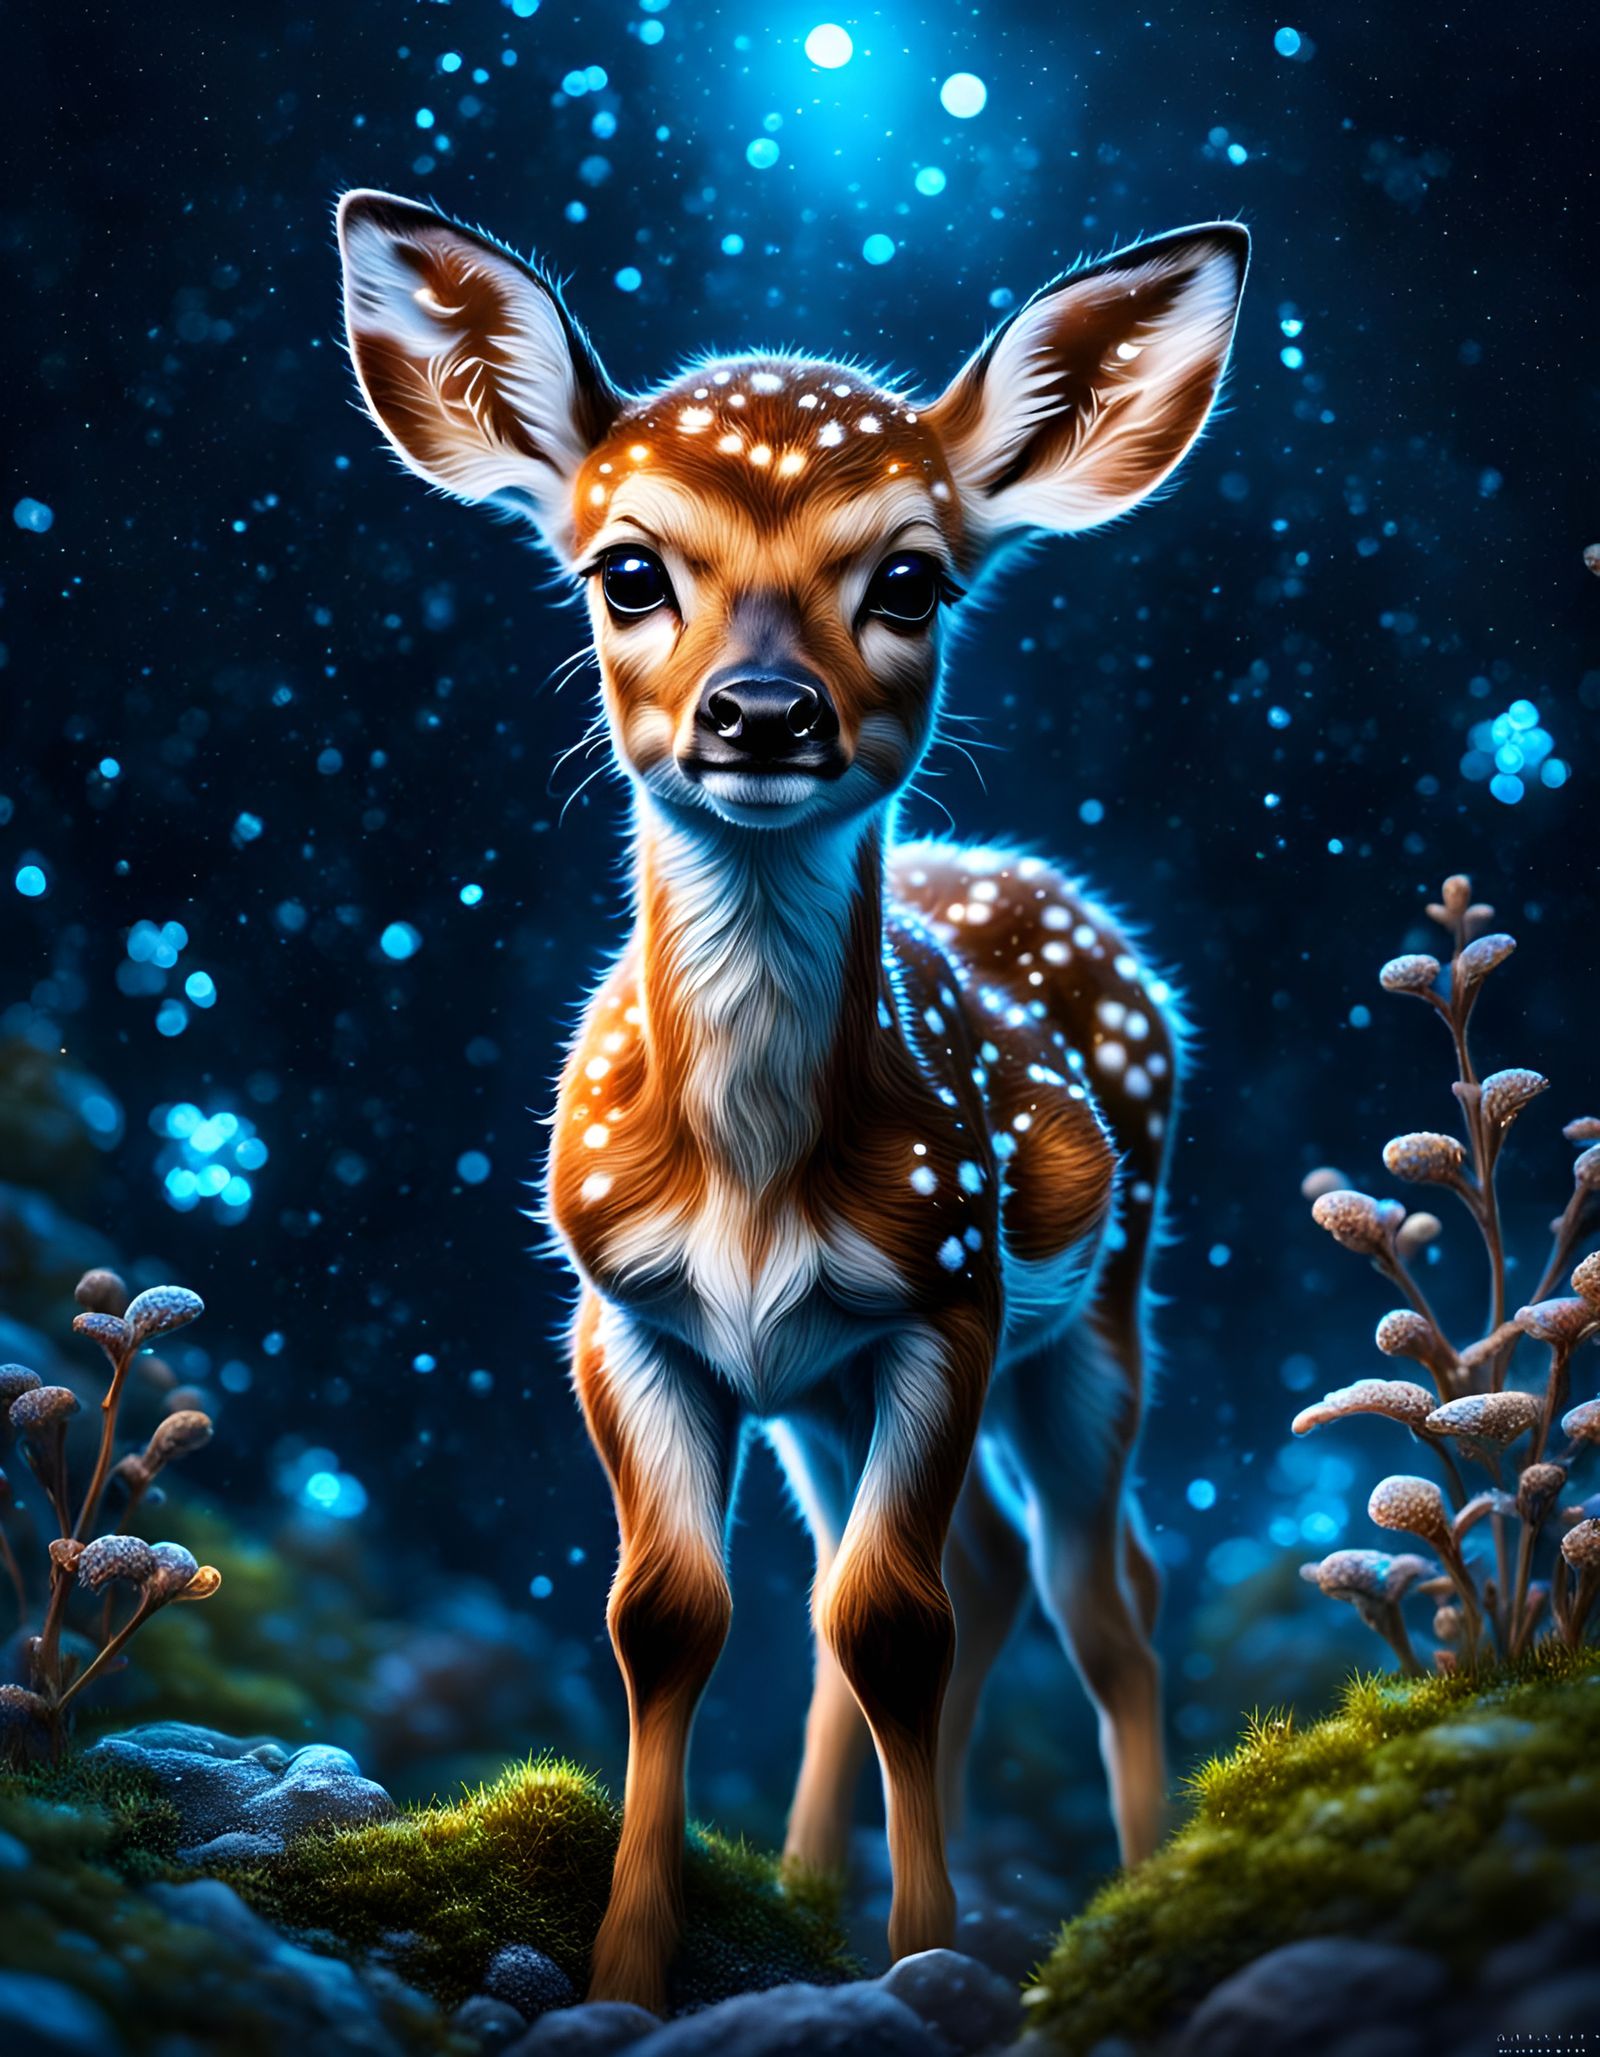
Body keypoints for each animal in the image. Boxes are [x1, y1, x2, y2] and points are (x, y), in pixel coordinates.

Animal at [337, 190, 1248, 2013]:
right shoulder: (624, 1312)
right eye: (626, 568)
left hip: (1103, 1310)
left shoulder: (949, 1302)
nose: (762, 711)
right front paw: (635, 1964)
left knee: (1097, 1586)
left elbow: (898, 1622)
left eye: (912, 576)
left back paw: (1131, 1884)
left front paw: (930, 1962)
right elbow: (673, 1615)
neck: (755, 1170)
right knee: (961, 1569)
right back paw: (820, 1891)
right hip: (821, 1387)